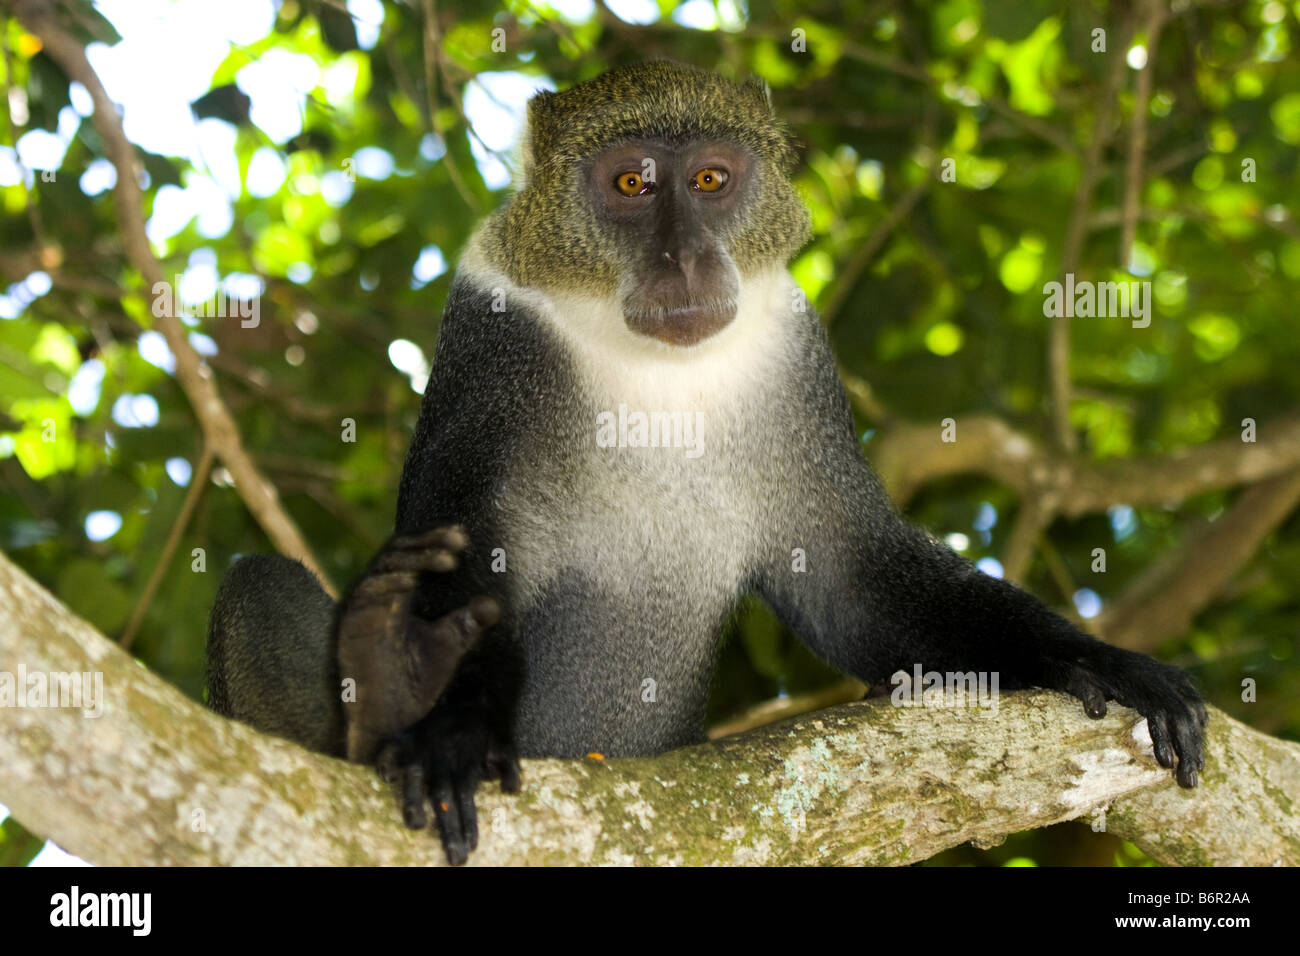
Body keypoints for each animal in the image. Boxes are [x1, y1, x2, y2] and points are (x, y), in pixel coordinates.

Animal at [207, 61, 1208, 865]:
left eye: (711, 180)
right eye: (629, 182)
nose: (684, 259)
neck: (654, 369)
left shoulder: (794, 365)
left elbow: (854, 578)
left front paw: (1094, 658)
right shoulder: (496, 350)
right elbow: (462, 550)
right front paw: (438, 713)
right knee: (257, 581)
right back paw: (386, 687)